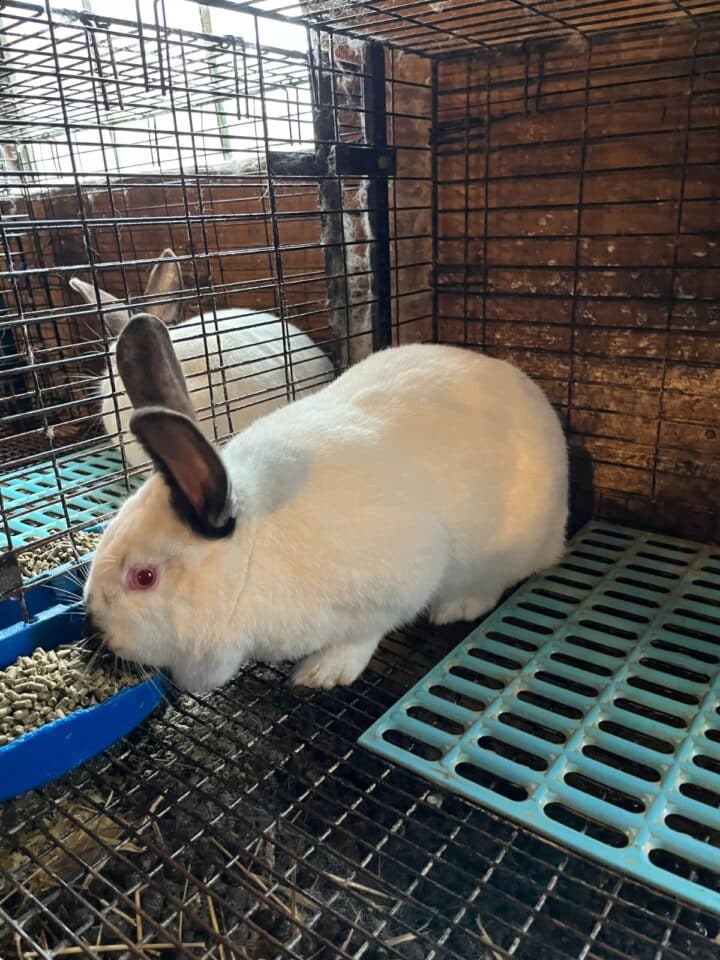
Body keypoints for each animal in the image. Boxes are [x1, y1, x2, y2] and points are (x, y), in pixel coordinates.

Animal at [83, 309, 568, 694]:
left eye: (144, 577)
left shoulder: (404, 579)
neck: (254, 559)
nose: (95, 628)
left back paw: (457, 607)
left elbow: (365, 633)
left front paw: (322, 673)